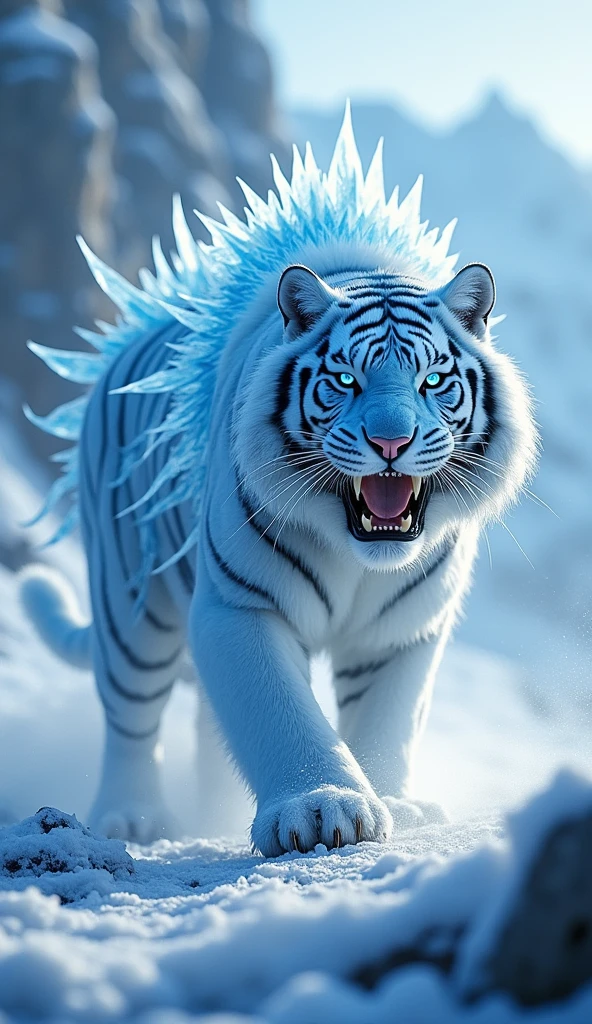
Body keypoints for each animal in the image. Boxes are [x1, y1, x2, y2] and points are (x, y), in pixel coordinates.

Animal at [20, 107, 537, 855]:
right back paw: (133, 817)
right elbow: (277, 710)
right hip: (131, 599)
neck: (359, 555)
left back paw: (210, 810)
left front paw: (394, 801)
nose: (390, 441)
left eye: (432, 380)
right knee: (130, 712)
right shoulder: (240, 605)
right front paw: (321, 808)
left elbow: (386, 720)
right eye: (345, 379)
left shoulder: (403, 628)